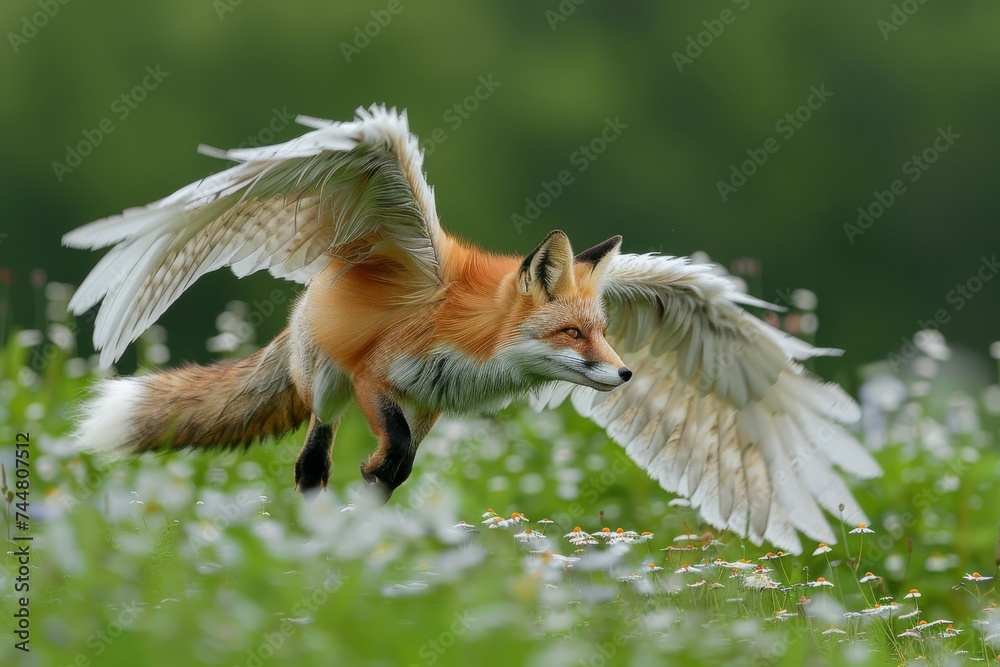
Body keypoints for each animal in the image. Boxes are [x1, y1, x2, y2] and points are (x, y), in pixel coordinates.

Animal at [64, 105, 881, 554]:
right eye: (571, 334)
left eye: (602, 332)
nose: (625, 374)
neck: (479, 347)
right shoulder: (378, 376)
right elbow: (385, 450)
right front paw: (361, 492)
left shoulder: (426, 399)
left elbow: (396, 466)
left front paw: (372, 501)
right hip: (328, 379)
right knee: (311, 456)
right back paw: (320, 512)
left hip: (419, 405)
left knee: (369, 467)